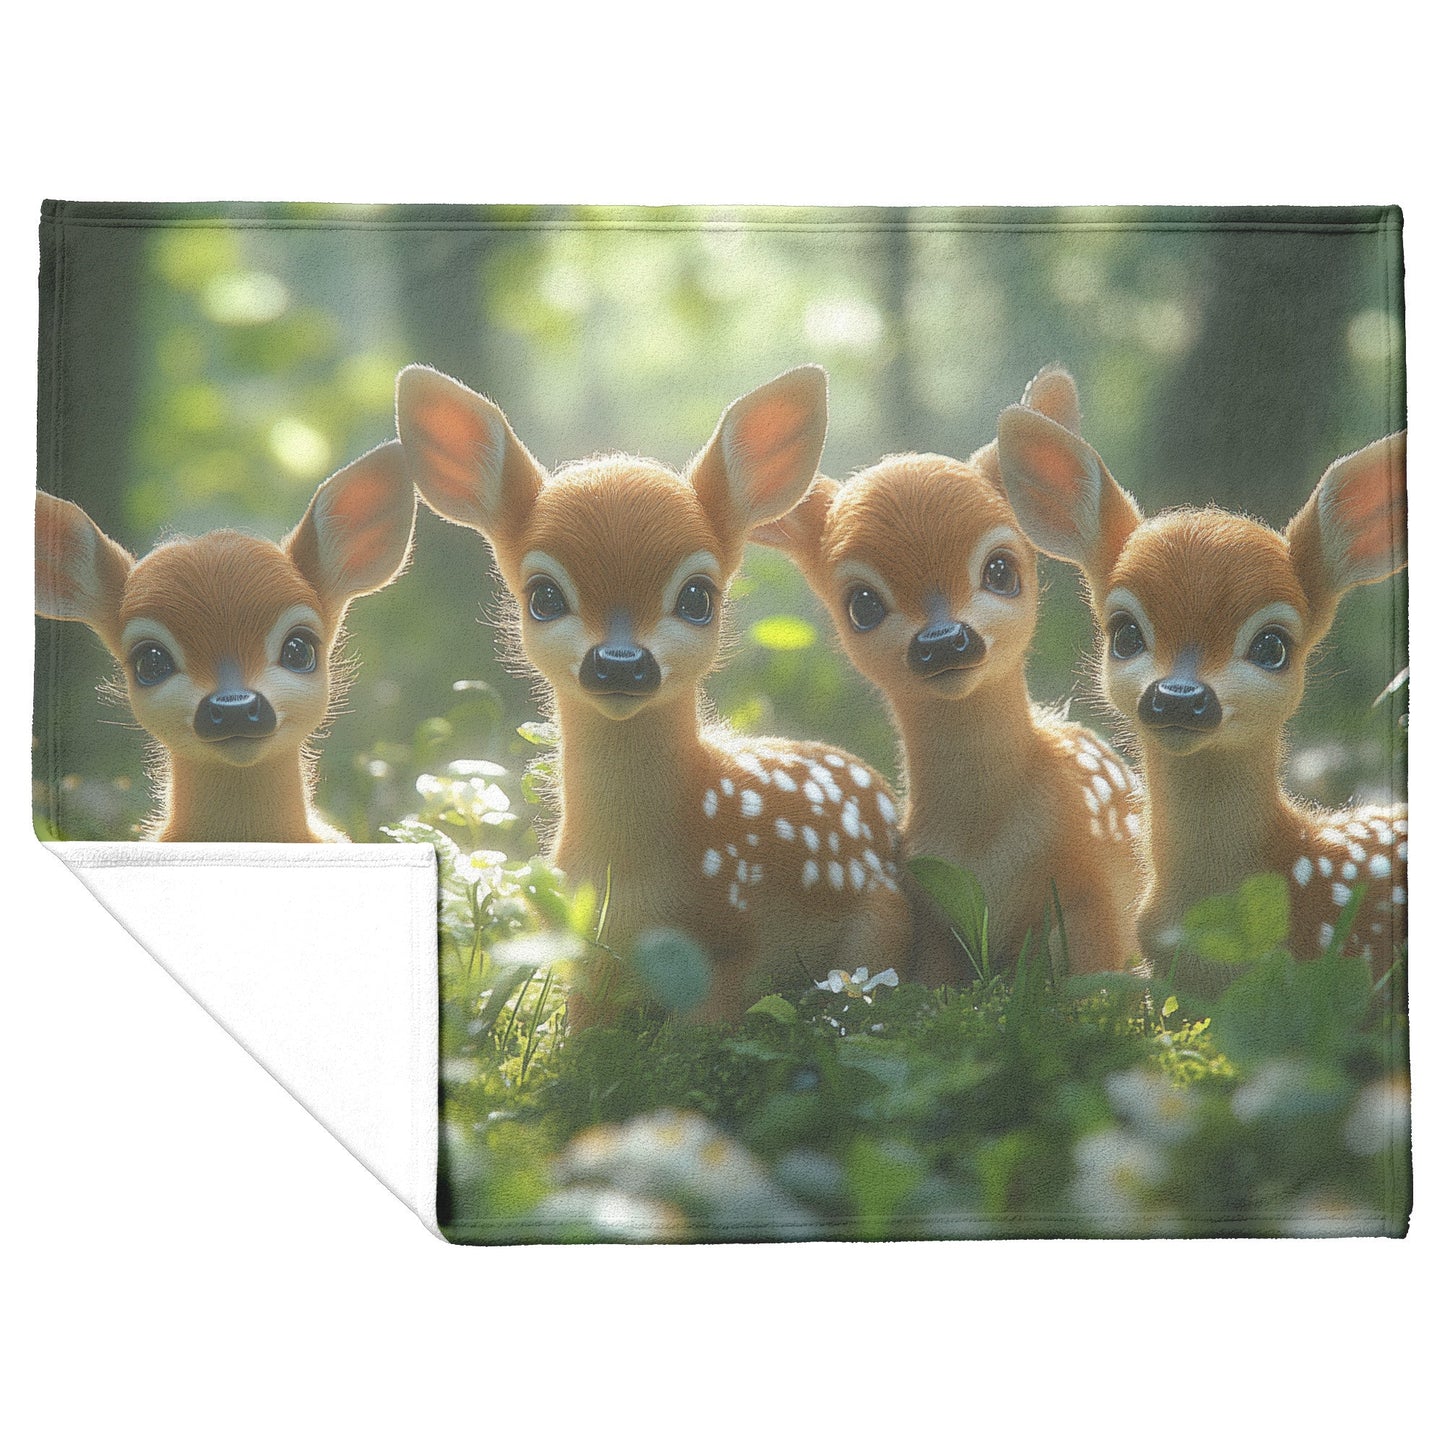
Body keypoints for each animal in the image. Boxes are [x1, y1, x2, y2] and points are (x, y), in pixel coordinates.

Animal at [395, 363, 910, 1022]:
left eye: (697, 596)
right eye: (544, 595)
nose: (620, 663)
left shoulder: (738, 935)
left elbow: (703, 1024)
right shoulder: (582, 945)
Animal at [753, 366, 1143, 983]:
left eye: (1001, 569)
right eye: (862, 603)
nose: (942, 641)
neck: (985, 843)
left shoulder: (1094, 884)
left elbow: (1097, 974)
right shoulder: (932, 909)